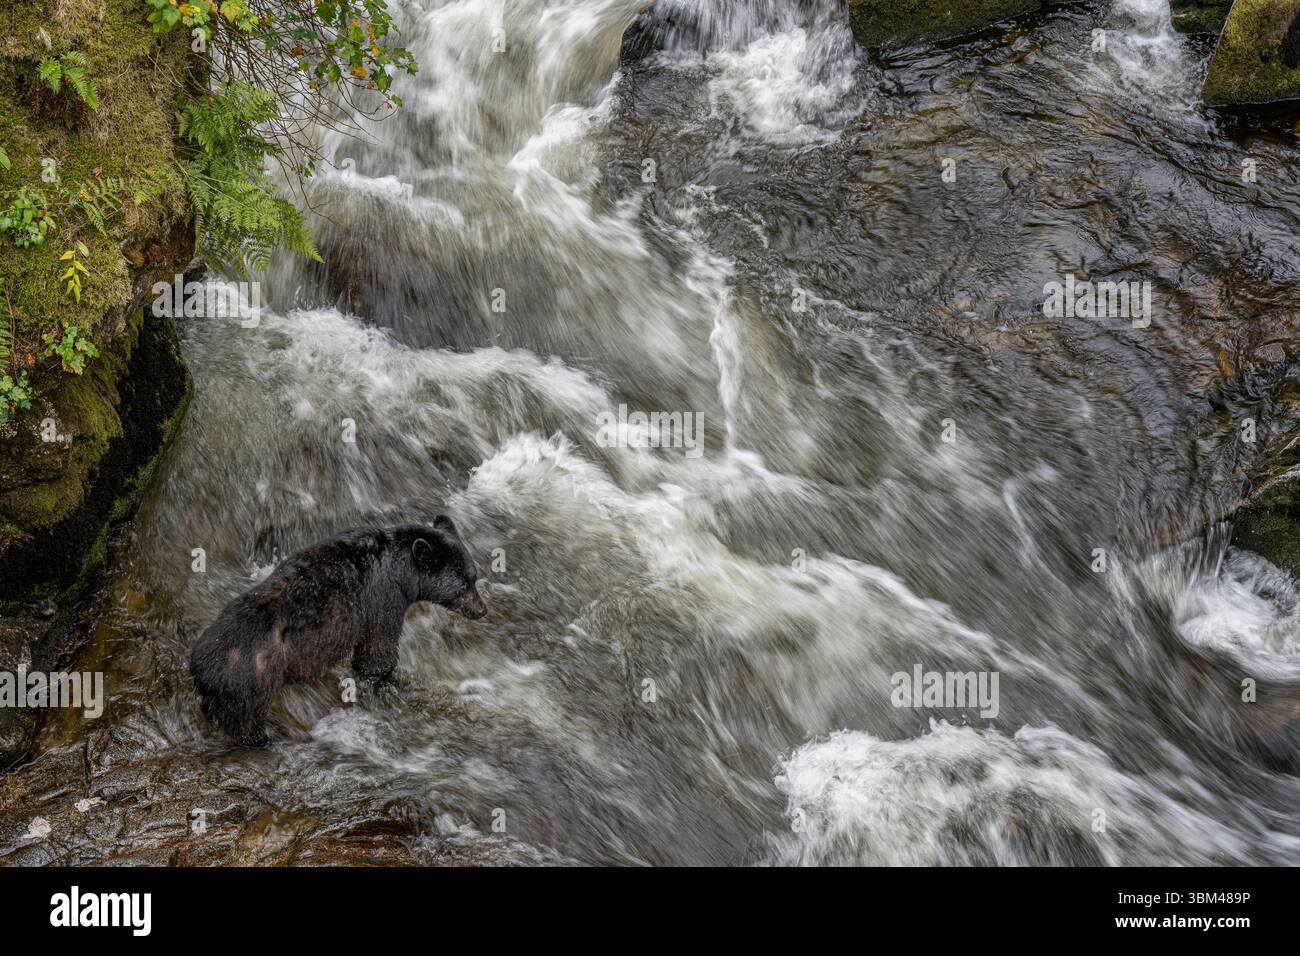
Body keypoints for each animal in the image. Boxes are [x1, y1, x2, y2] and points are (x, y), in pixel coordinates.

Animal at [190, 517, 486, 747]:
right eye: (464, 585)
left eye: (474, 576)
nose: (481, 609)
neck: (400, 569)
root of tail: (203, 667)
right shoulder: (382, 599)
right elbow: (377, 648)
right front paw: (385, 680)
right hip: (252, 682)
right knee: (245, 720)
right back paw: (264, 738)